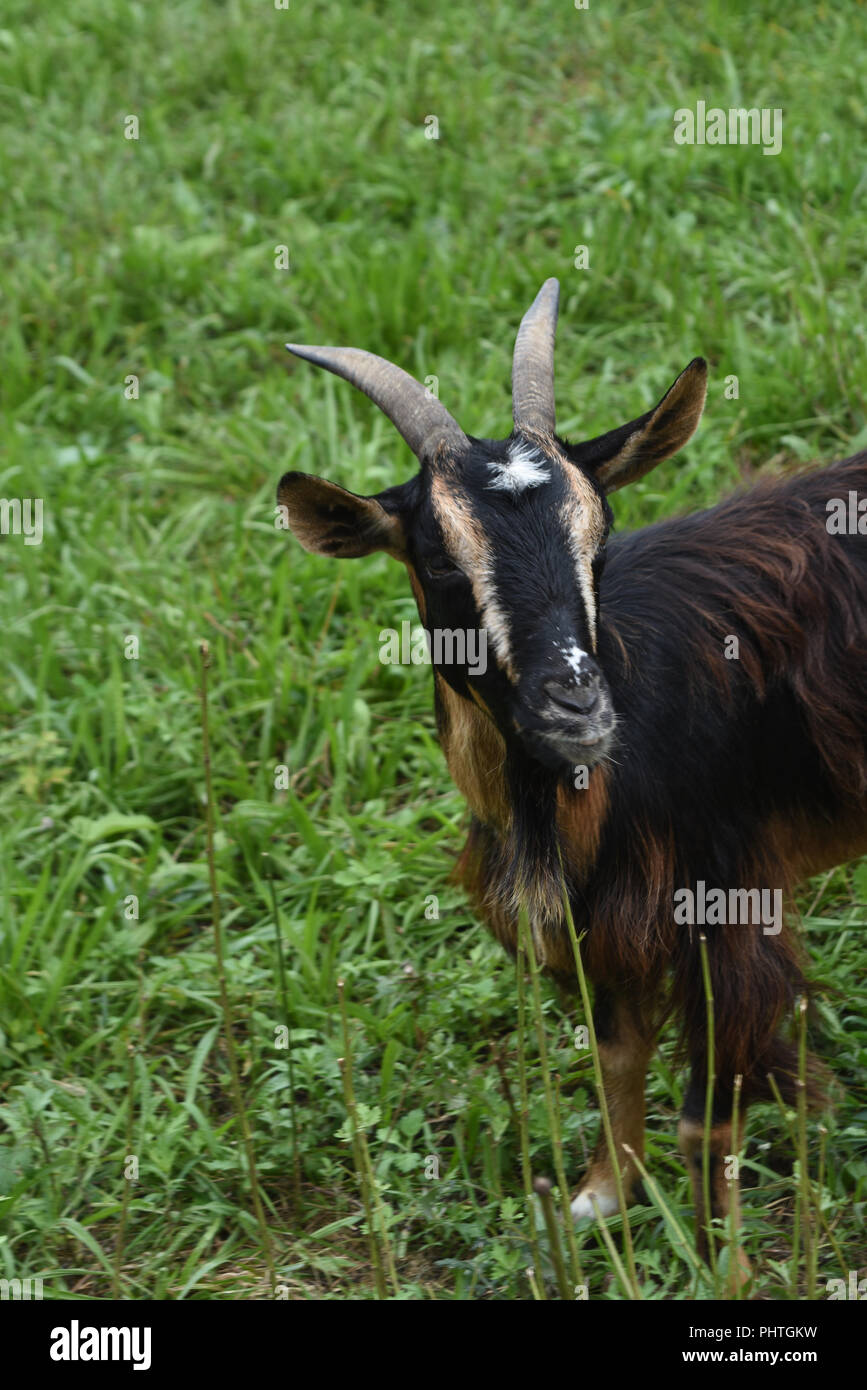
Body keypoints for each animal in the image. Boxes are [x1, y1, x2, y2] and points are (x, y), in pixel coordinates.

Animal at [278, 280, 867, 1268]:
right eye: (438, 558)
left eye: (600, 532)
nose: (577, 706)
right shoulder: (597, 919)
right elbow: (614, 1054)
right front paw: (600, 1197)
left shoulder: (723, 893)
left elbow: (706, 1118)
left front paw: (725, 1265)